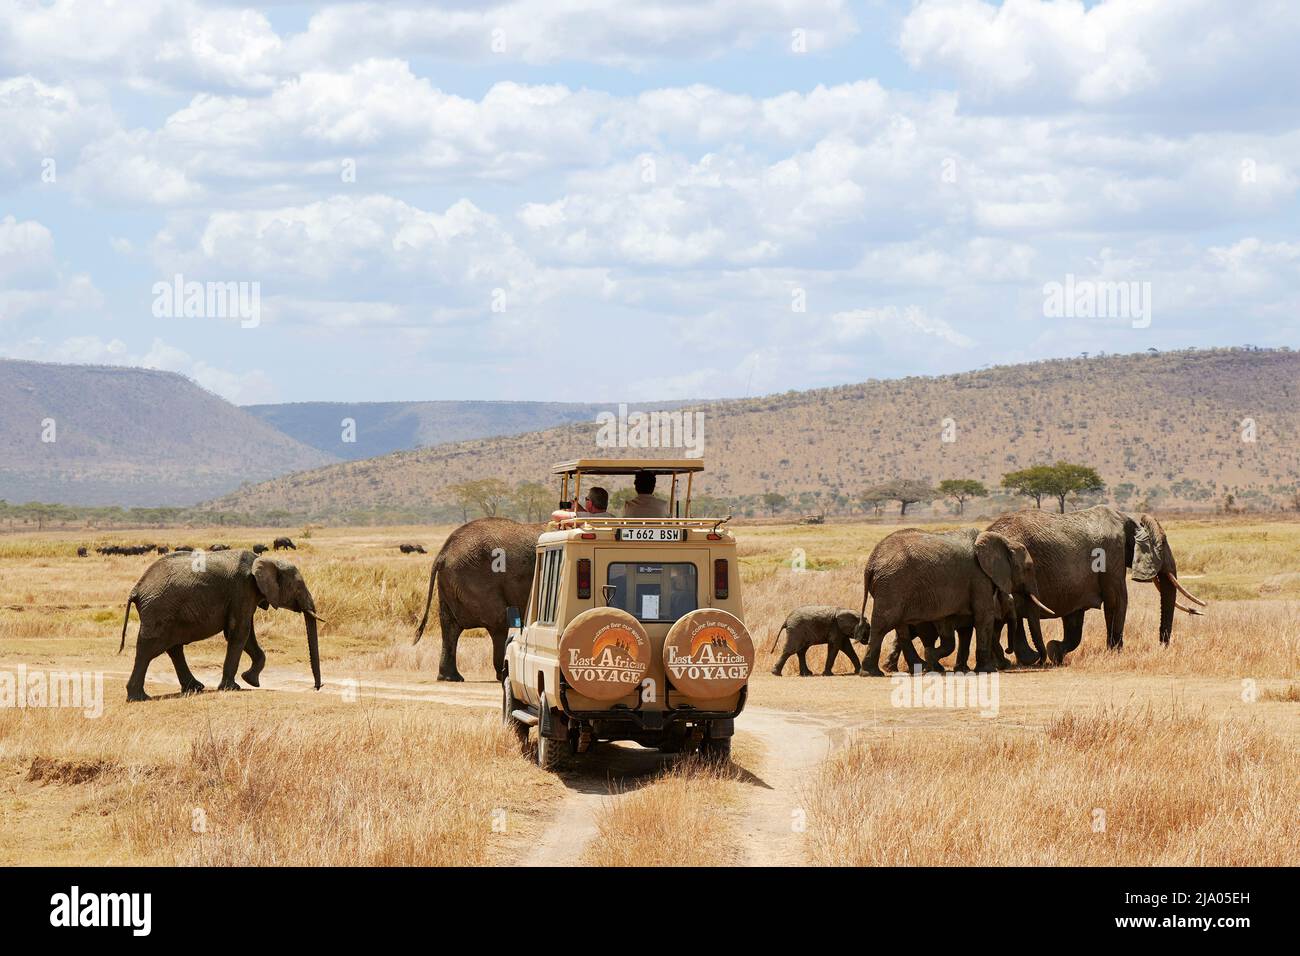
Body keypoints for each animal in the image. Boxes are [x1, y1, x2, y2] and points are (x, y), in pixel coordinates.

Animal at [118, 550, 323, 702]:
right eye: (298, 587)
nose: (317, 687)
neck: (264, 559)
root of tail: (136, 590)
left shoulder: (246, 595)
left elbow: (247, 635)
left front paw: (250, 680)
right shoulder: (243, 589)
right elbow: (239, 632)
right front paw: (233, 687)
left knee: (173, 648)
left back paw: (195, 688)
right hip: (159, 610)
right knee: (148, 650)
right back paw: (139, 698)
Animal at [414, 517, 543, 682]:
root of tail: (442, 555)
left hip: (450, 582)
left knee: (450, 626)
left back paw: (451, 678)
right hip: (476, 578)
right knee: (498, 621)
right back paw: (501, 673)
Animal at [854, 528, 1054, 676]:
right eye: (1028, 568)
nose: (1040, 660)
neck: (1003, 541)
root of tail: (870, 565)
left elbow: (966, 627)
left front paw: (962, 669)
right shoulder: (979, 577)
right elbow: (984, 617)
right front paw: (987, 670)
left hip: (894, 588)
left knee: (901, 627)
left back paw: (918, 668)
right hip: (892, 585)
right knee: (883, 624)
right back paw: (873, 673)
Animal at [985, 507, 1205, 664]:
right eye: (1164, 542)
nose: (1162, 647)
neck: (1129, 520)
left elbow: (1074, 618)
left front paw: (1055, 651)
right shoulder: (1111, 555)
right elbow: (1117, 601)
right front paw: (1115, 654)